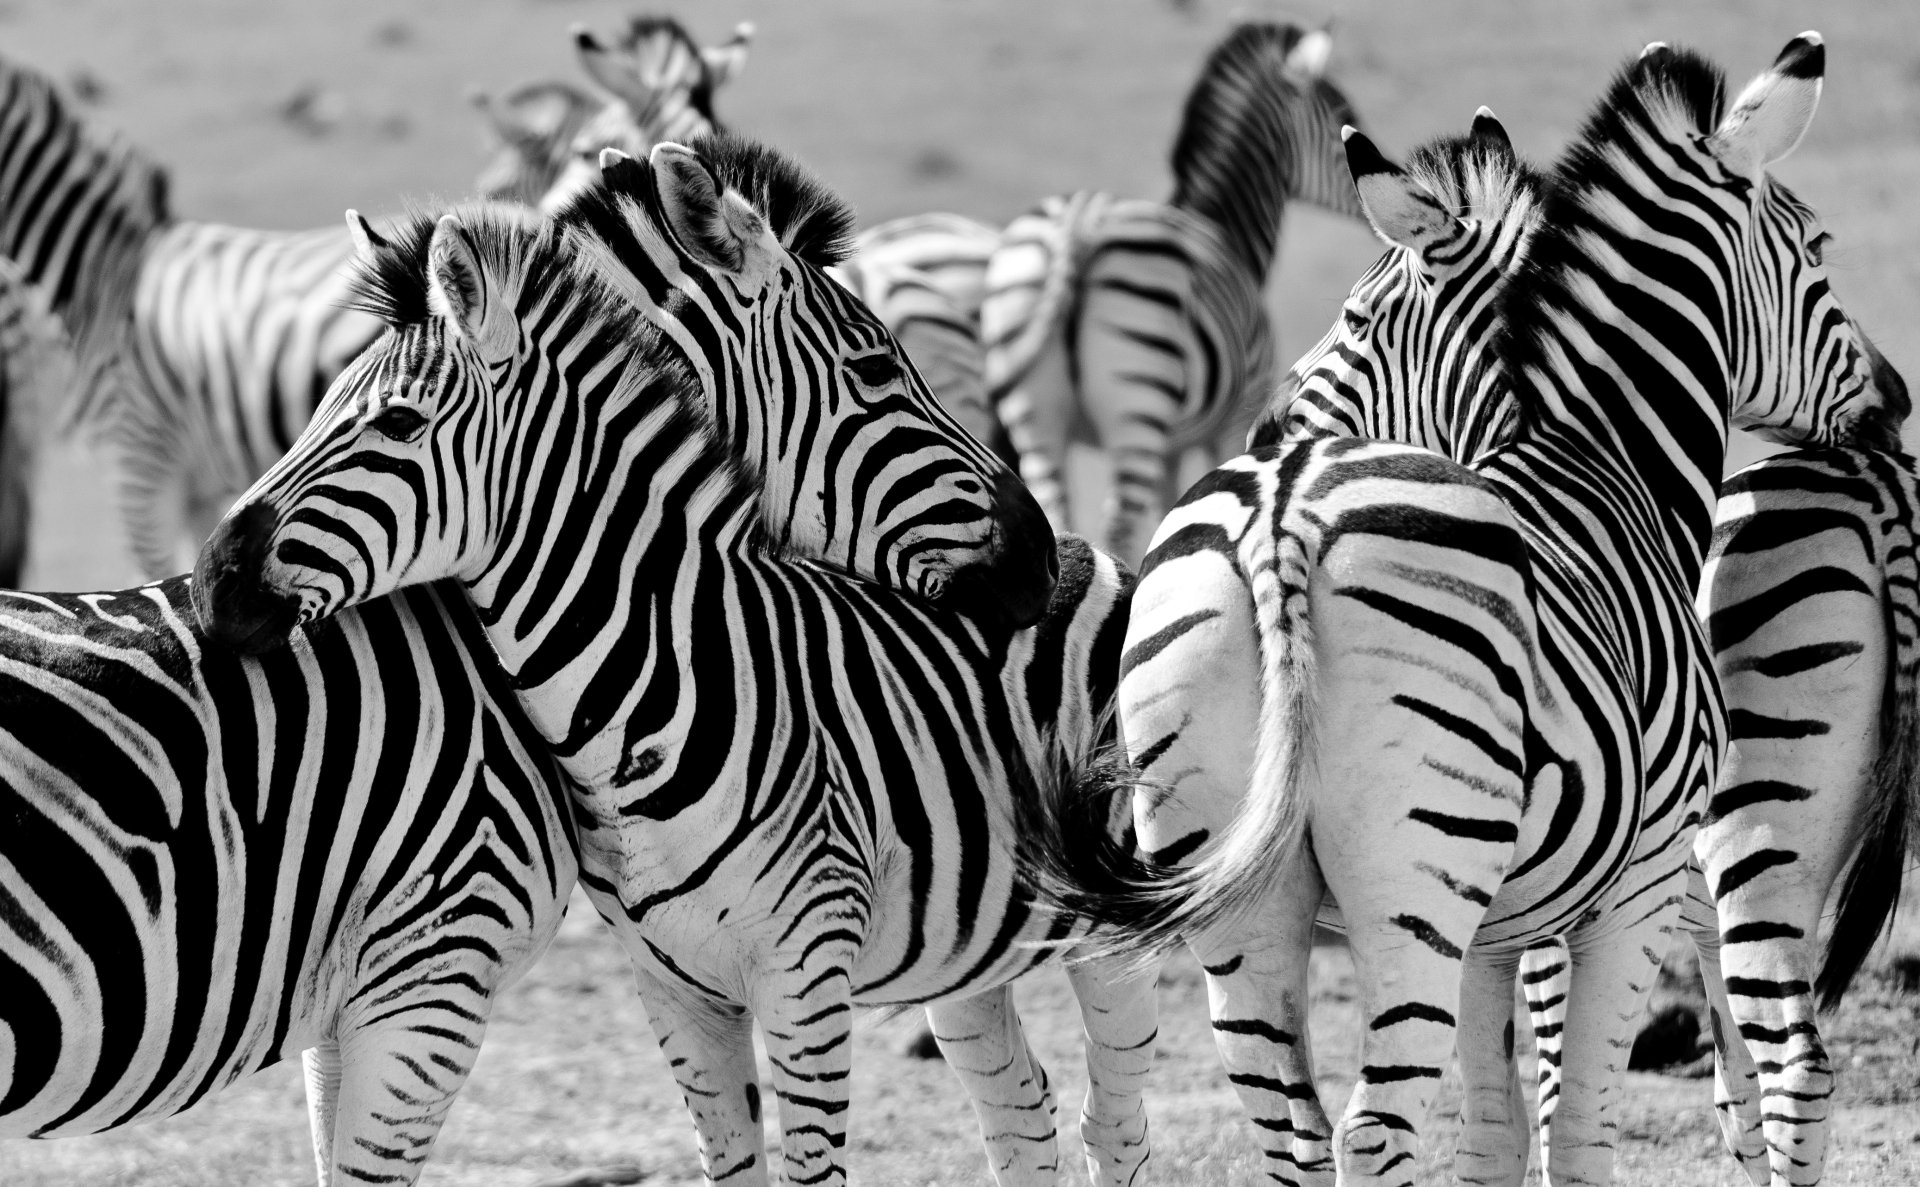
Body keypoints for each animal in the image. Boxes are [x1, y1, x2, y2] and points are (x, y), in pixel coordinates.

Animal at [977, 20, 1362, 566]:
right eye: (1345, 121)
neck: (1226, 232)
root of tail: (1080, 225)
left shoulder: (1175, 443)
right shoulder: (1235, 416)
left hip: (1034, 413)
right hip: (1137, 406)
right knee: (1118, 523)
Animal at [1014, 35, 1908, 1186]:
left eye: (1354, 318)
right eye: (1819, 249)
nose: (1897, 403)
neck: (1605, 458)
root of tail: (1285, 512)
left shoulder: (1499, 926)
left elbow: (1494, 1131)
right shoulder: (1630, 889)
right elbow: (1574, 1132)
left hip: (1231, 880)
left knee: (1291, 1129)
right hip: (1433, 884)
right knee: (1378, 1124)